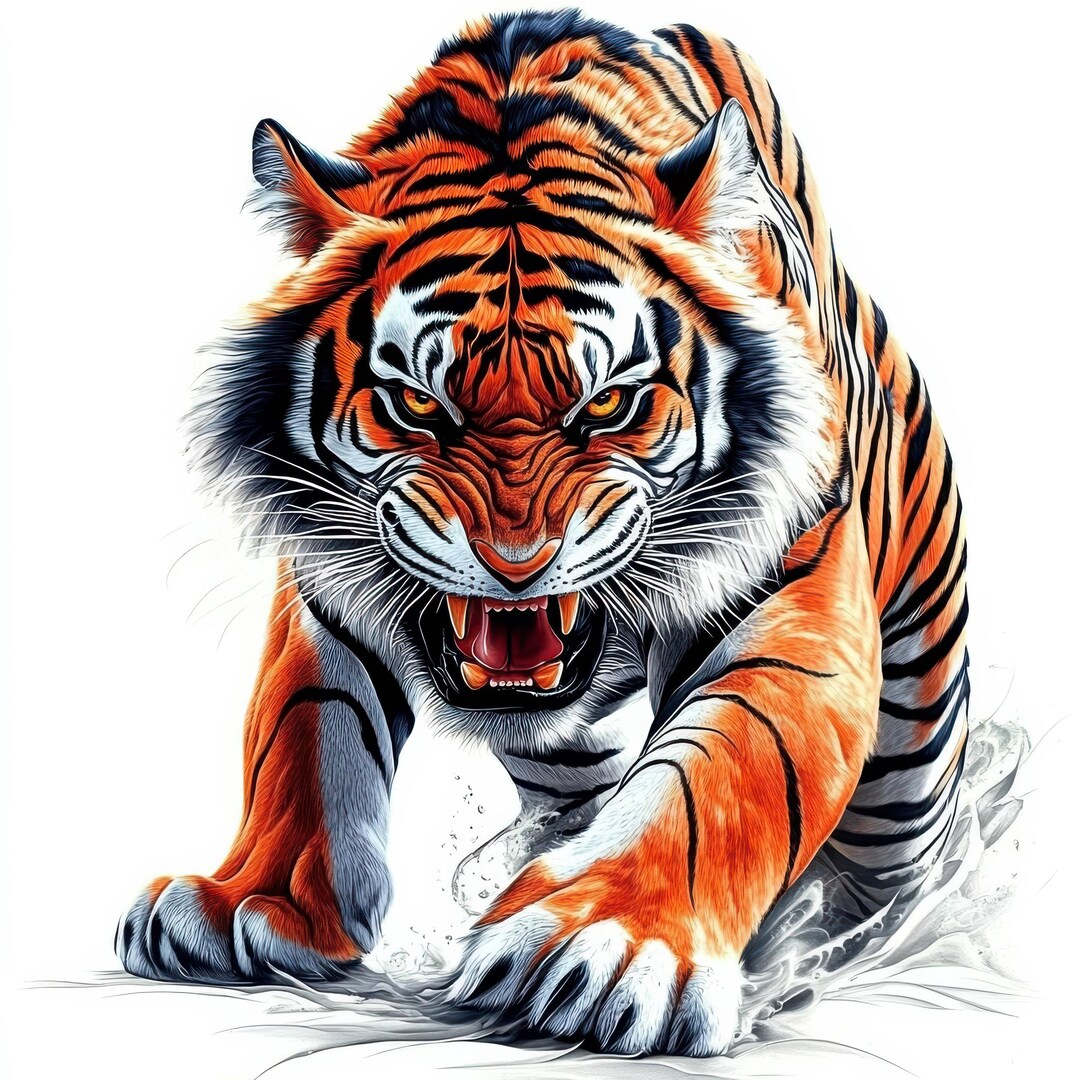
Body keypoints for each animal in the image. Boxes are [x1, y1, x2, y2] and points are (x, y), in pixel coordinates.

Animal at [116, 9, 969, 1057]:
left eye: (606, 405)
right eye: (417, 403)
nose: (516, 567)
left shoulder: (788, 598)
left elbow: (721, 764)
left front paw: (602, 948)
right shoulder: (326, 585)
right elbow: (303, 733)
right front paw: (250, 904)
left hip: (912, 748)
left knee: (889, 866)